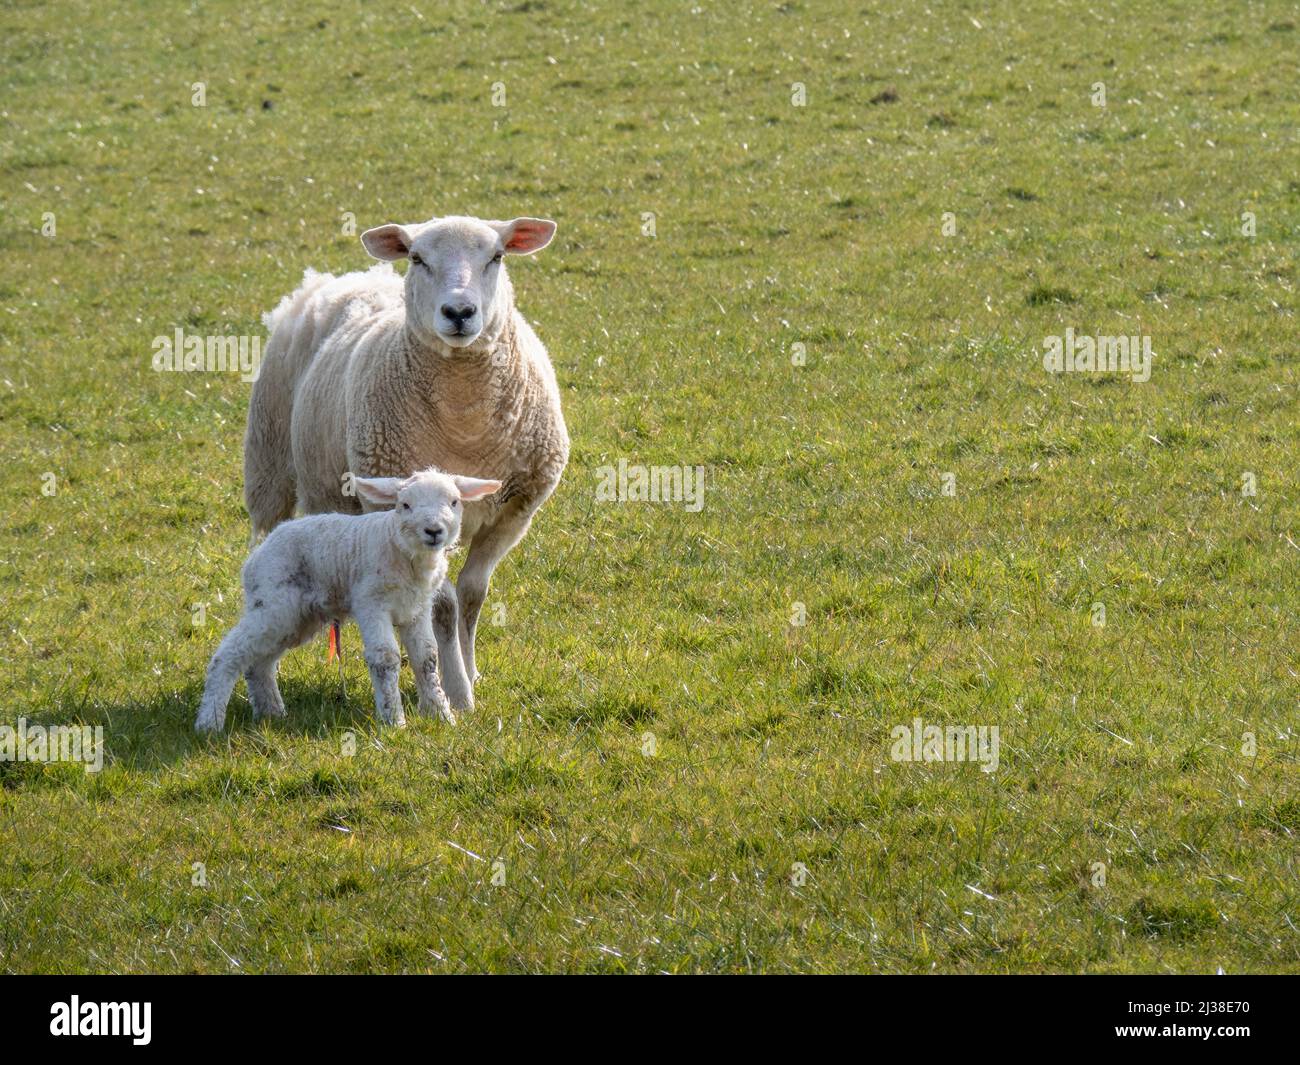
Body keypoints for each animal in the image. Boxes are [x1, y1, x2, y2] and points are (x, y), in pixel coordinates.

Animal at [195, 469, 502, 733]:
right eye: (405, 505)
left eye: (454, 502)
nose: (434, 530)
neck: (404, 552)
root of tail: (255, 558)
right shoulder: (371, 603)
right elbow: (385, 658)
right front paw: (393, 720)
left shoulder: (418, 609)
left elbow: (427, 656)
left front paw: (440, 715)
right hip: (273, 603)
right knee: (230, 654)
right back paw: (209, 723)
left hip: (295, 617)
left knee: (260, 662)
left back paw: (271, 713)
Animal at [242, 215, 569, 714]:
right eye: (417, 258)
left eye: (496, 256)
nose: (459, 312)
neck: (465, 422)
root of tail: (345, 279)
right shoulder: (404, 508)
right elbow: (444, 606)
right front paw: (457, 690)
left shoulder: (514, 513)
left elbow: (473, 595)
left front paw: (470, 672)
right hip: (270, 469)